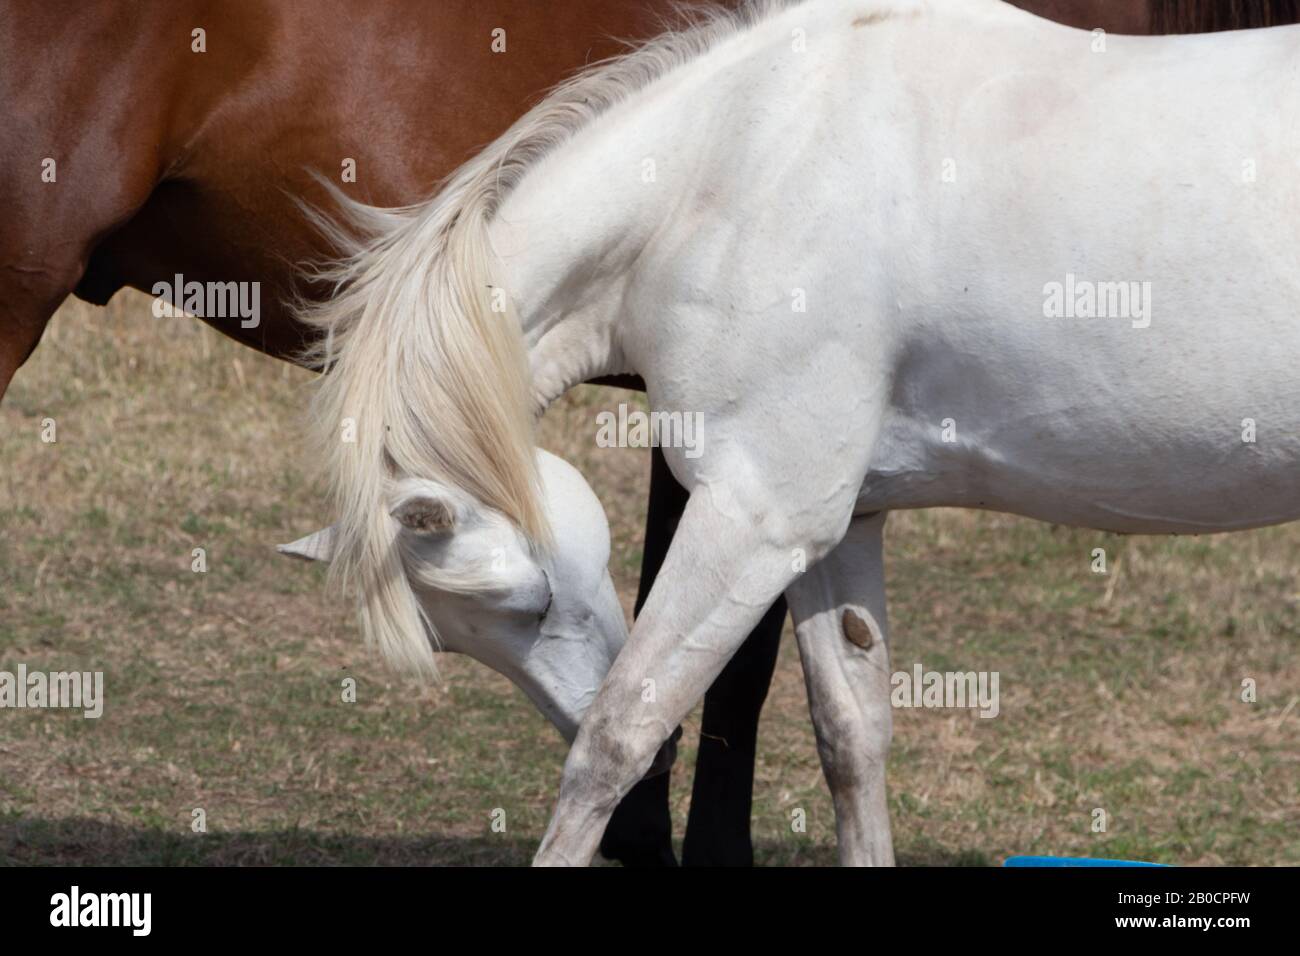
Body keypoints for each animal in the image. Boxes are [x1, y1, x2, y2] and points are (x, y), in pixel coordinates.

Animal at [4, 0, 1295, 866]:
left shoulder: (752, 516)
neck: (745, 166)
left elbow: (624, 731)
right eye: (484, 625)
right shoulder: (834, 521)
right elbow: (851, 736)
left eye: (523, 602)